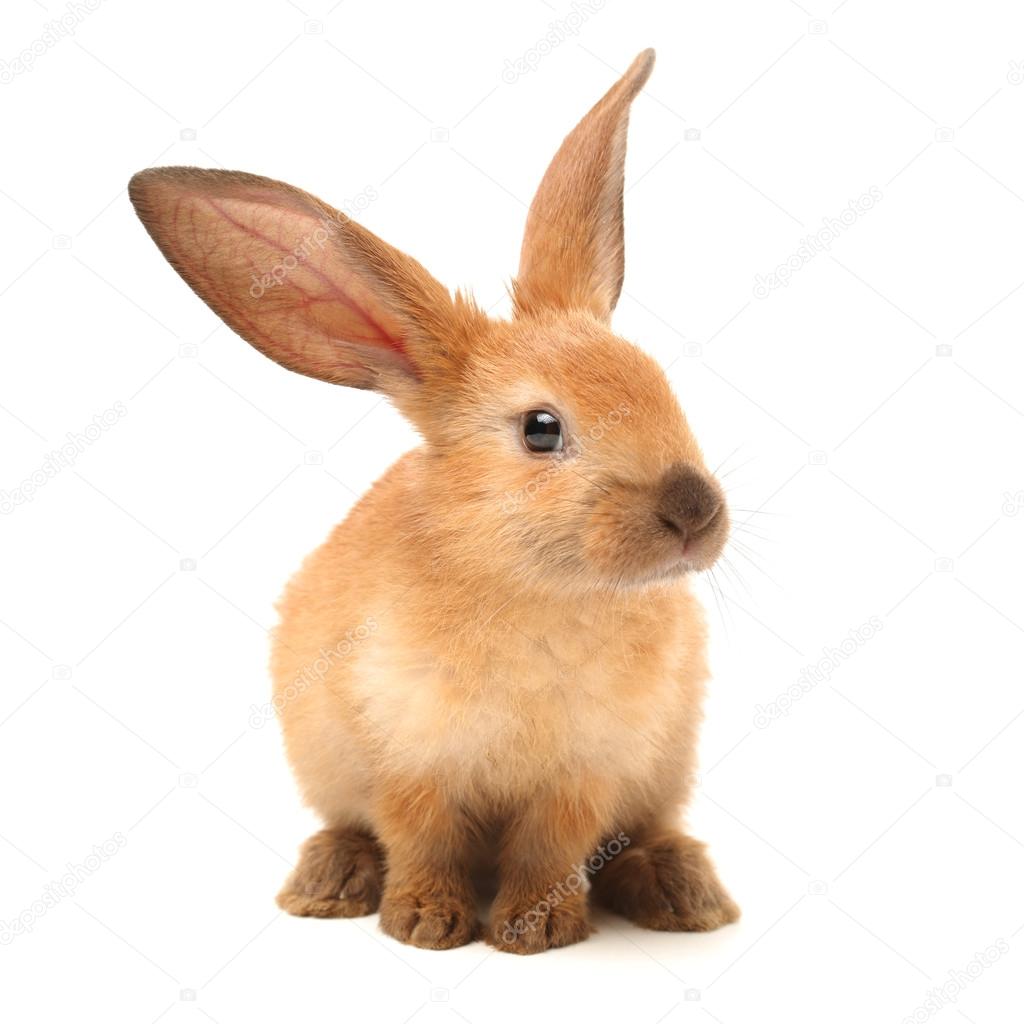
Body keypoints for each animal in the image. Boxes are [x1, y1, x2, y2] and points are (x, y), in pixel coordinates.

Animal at [128, 47, 739, 954]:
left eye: (661, 384)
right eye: (542, 430)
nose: (695, 513)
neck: (536, 588)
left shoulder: (589, 772)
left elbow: (553, 848)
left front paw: (533, 931)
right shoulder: (404, 755)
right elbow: (421, 837)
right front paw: (423, 924)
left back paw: (682, 893)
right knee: (352, 828)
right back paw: (329, 883)